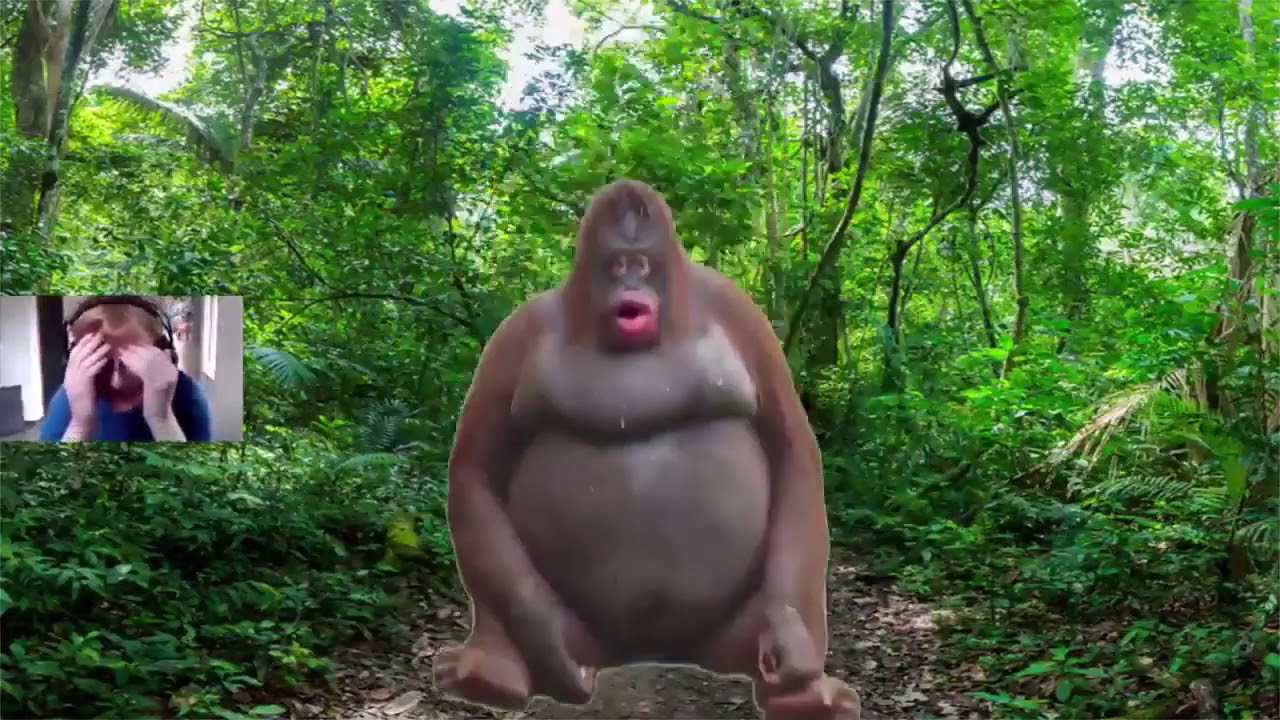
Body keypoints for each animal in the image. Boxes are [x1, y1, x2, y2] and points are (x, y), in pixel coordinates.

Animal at [434, 180, 860, 720]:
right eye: (617, 265)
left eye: (644, 264)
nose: (630, 284)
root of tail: (650, 653)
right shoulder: (516, 332)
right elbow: (477, 469)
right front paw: (545, 645)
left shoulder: (740, 311)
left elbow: (790, 449)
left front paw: (790, 642)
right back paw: (495, 670)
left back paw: (806, 691)